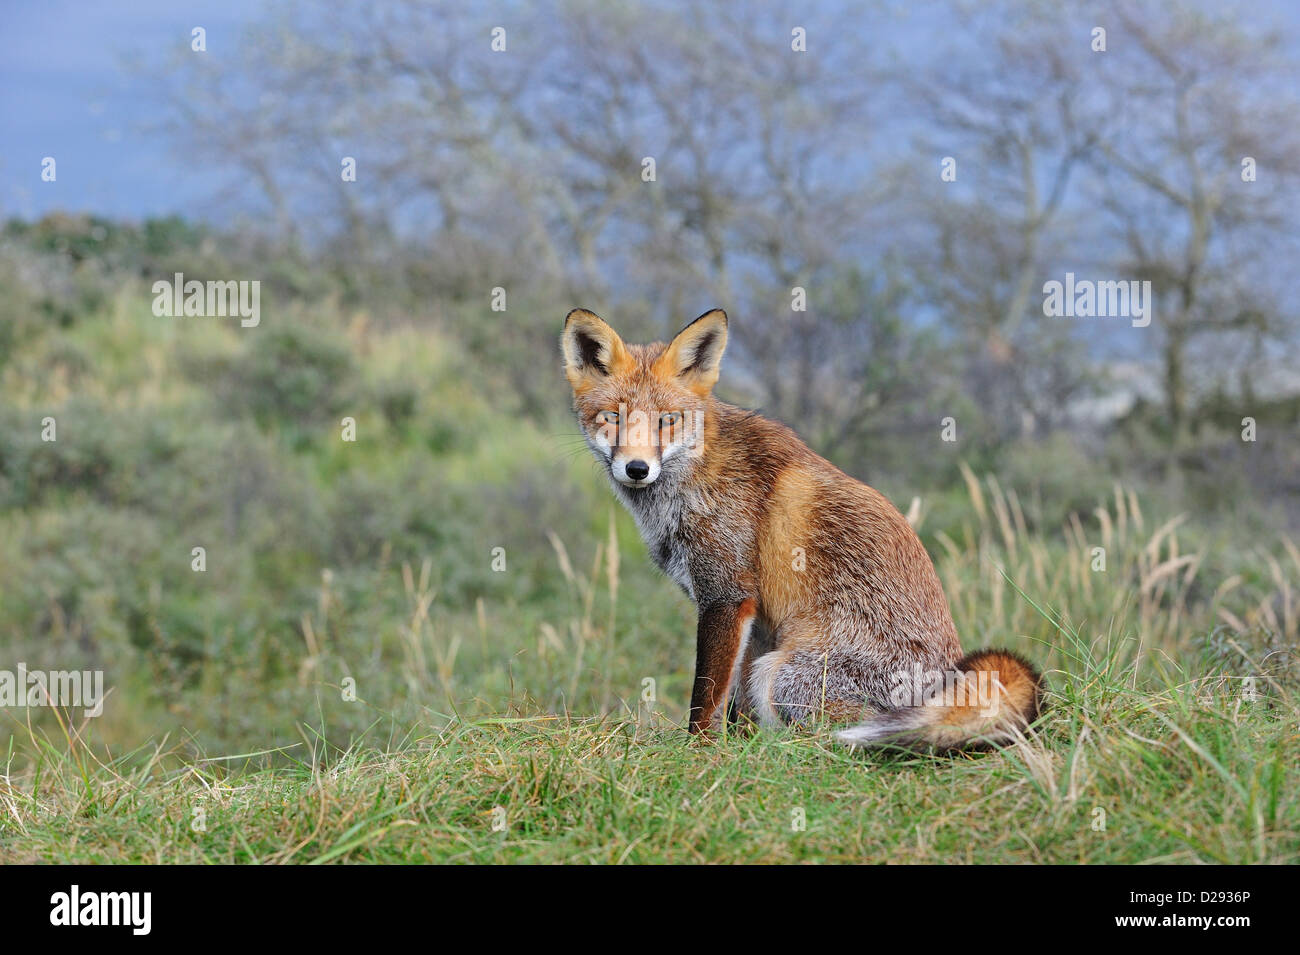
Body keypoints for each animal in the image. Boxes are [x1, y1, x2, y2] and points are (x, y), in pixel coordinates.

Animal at [561, 306, 1043, 751]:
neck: (696, 473)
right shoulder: (754, 617)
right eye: (612, 417)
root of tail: (941, 680)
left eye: (667, 420)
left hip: (783, 673)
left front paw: (698, 751)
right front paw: (739, 747)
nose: (637, 469)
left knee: (844, 735)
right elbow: (735, 705)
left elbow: (705, 697)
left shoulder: (726, 595)